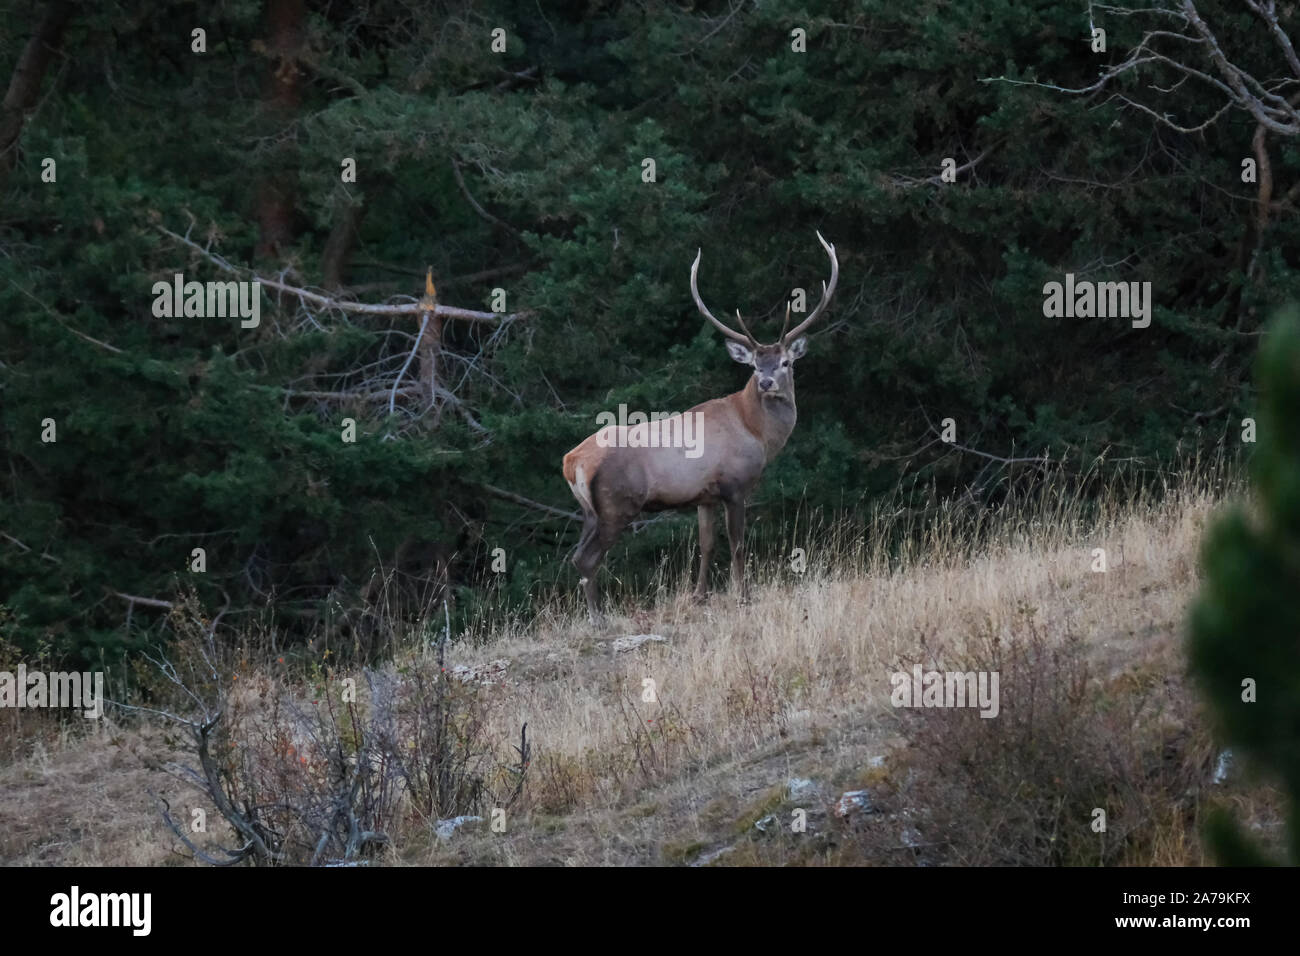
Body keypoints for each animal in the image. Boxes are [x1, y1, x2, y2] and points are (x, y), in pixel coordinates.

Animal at [561, 232, 839, 623]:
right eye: (755, 365)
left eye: (785, 361)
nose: (767, 382)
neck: (757, 433)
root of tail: (572, 462)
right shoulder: (735, 485)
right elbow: (737, 544)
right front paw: (743, 596)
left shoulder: (704, 496)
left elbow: (706, 544)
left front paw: (700, 595)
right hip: (617, 504)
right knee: (586, 559)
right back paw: (597, 617)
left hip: (588, 511)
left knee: (576, 555)